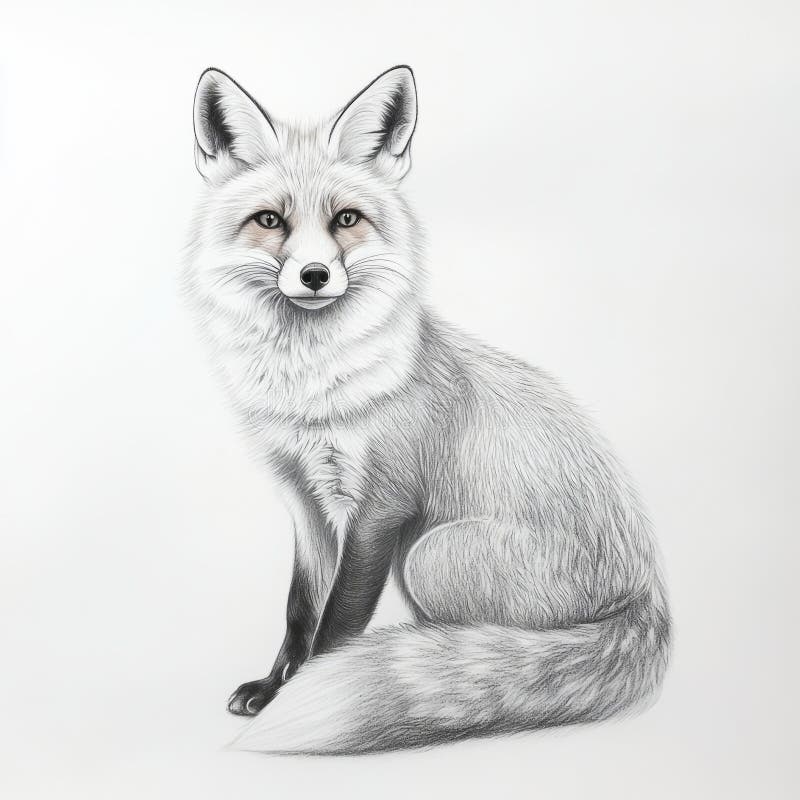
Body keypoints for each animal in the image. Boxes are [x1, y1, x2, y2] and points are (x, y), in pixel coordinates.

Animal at [183, 65, 671, 755]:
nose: (313, 275)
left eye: (347, 218)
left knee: (497, 642)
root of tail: (649, 600)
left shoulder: (382, 505)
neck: (312, 396)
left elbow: (338, 619)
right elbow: (301, 608)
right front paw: (274, 685)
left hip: (430, 555)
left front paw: (303, 691)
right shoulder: (303, 498)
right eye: (270, 219)